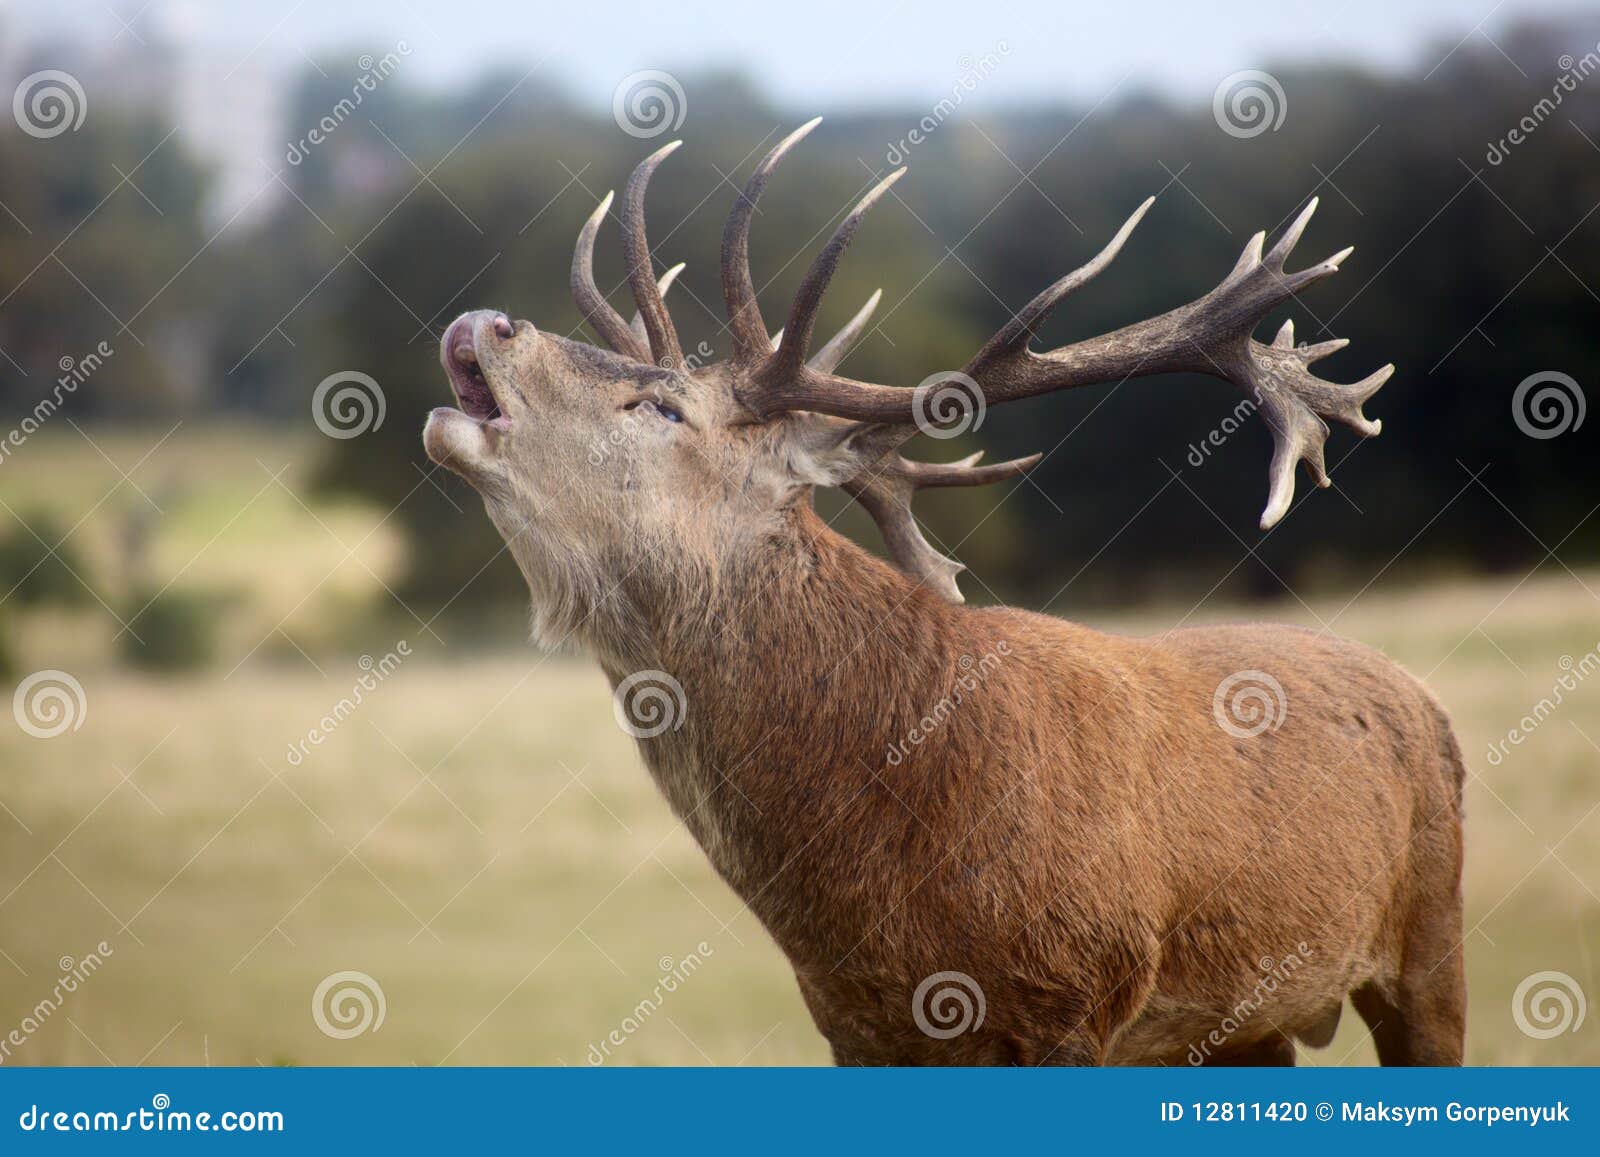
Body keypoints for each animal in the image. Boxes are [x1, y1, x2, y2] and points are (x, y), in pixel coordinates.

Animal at [422, 120, 1466, 1066]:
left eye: (662, 406)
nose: (488, 323)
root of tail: (1425, 699)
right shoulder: (853, 1028)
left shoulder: (1075, 995)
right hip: (1239, 1029)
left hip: (1431, 929)